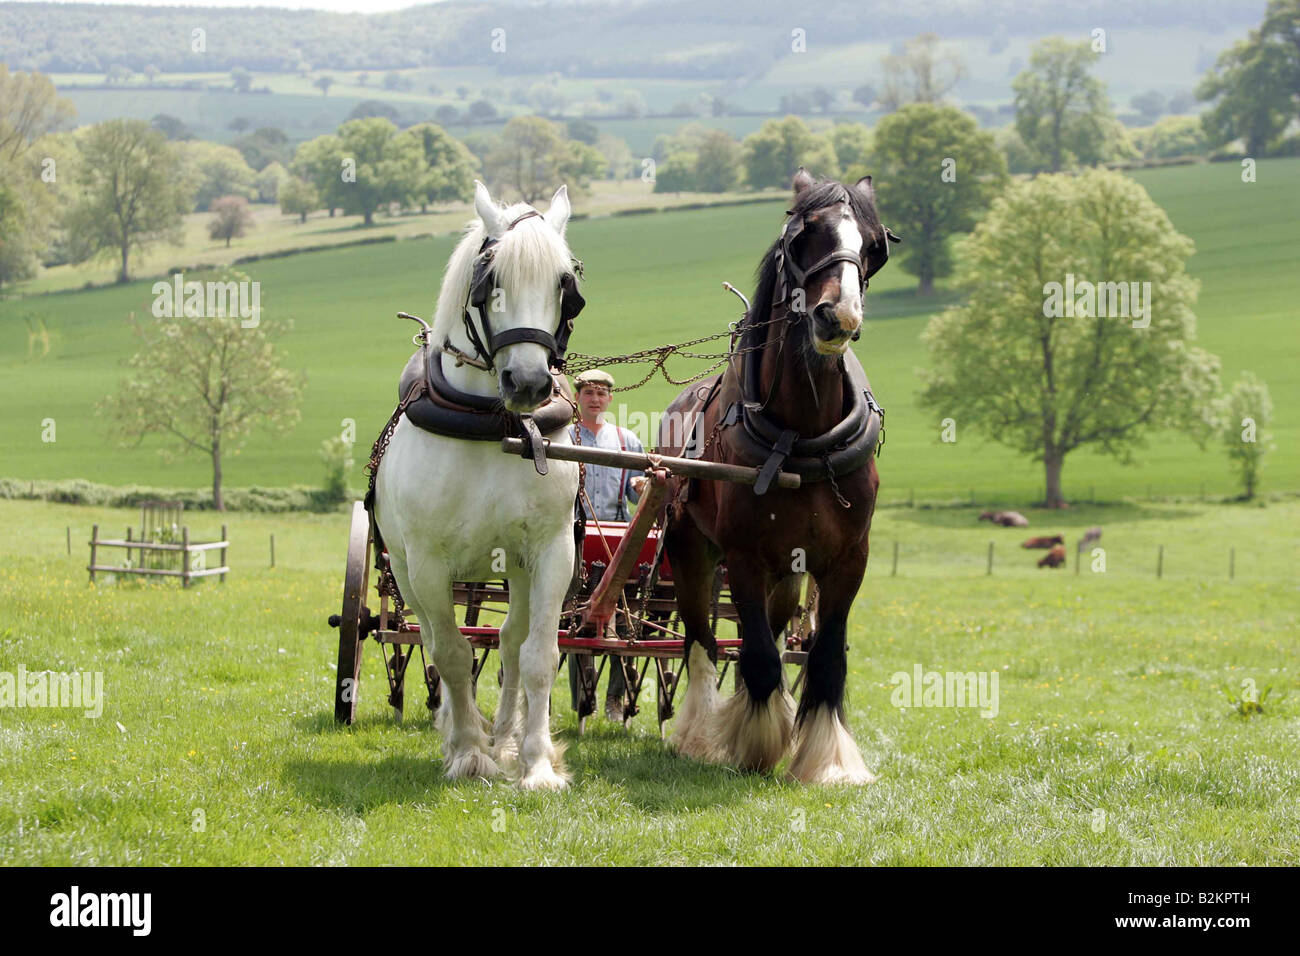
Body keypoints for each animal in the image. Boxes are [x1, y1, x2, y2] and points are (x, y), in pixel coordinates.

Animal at [373, 181, 582, 790]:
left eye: (564, 284)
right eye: (492, 282)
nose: (529, 382)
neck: (495, 427)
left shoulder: (552, 550)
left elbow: (537, 654)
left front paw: (535, 762)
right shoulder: (428, 562)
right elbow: (451, 653)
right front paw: (468, 751)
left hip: (515, 565)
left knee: (510, 640)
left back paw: (507, 735)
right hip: (402, 568)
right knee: (427, 638)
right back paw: (457, 729)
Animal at [656, 168, 897, 784]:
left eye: (874, 245)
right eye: (801, 235)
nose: (838, 316)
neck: (801, 436)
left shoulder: (848, 559)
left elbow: (825, 656)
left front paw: (826, 758)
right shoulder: (742, 556)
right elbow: (759, 655)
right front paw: (756, 744)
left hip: (788, 574)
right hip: (691, 549)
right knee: (700, 640)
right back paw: (698, 732)